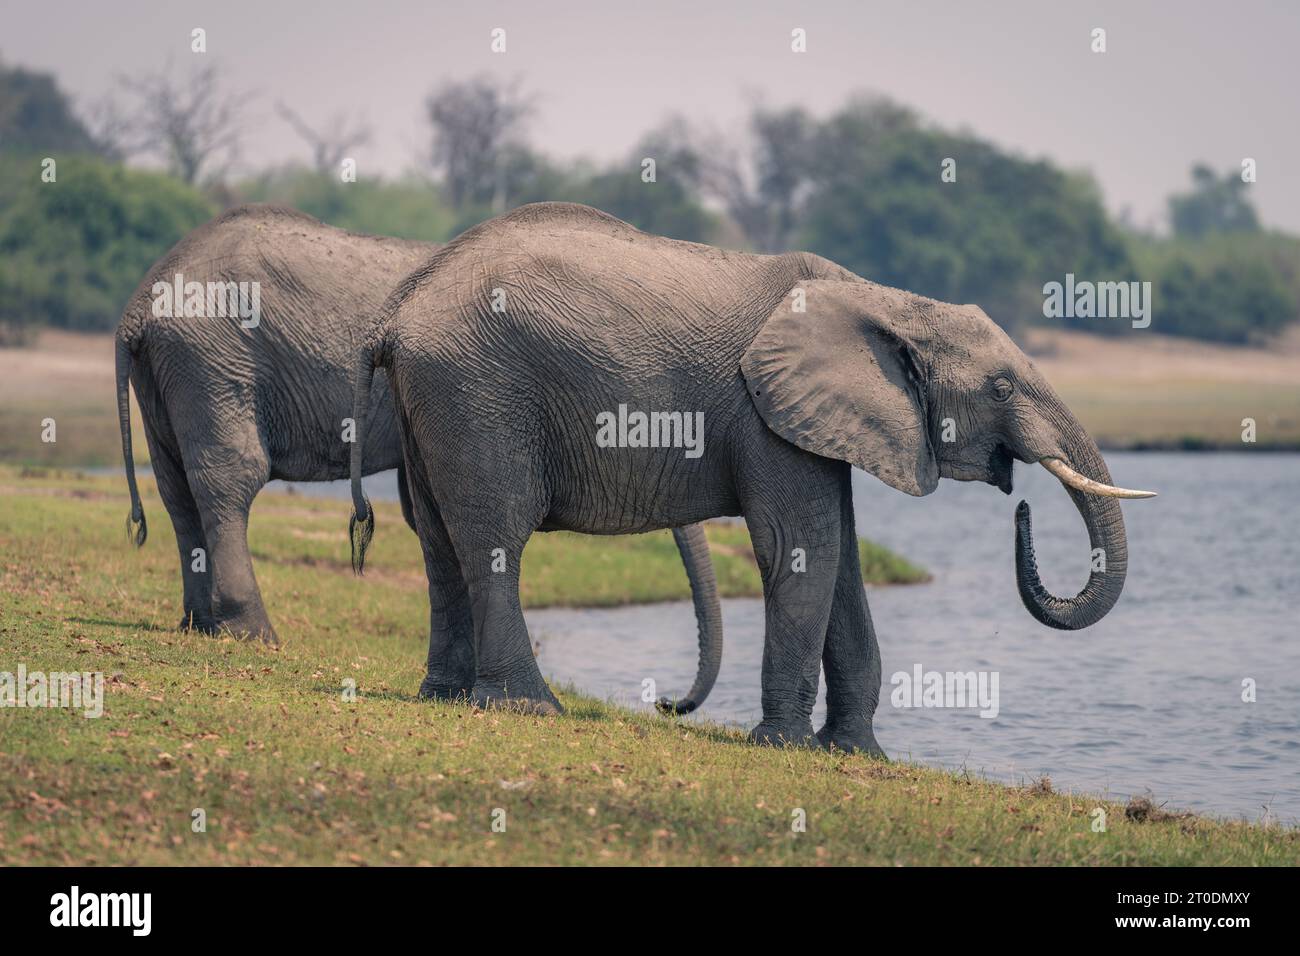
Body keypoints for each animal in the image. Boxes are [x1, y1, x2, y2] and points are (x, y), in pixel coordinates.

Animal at [115, 204, 724, 714]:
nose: (666, 704)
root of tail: (138, 306)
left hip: (171, 370)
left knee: (176, 488)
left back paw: (200, 626)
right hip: (214, 360)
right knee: (229, 477)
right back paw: (252, 634)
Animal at [347, 202, 1155, 753]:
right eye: (1003, 388)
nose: (1021, 508)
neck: (886, 300)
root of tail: (396, 314)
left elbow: (843, 557)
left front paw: (858, 755)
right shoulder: (768, 416)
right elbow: (801, 546)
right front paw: (786, 747)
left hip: (435, 401)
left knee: (438, 542)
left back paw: (444, 699)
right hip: (478, 393)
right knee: (495, 538)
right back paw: (529, 708)